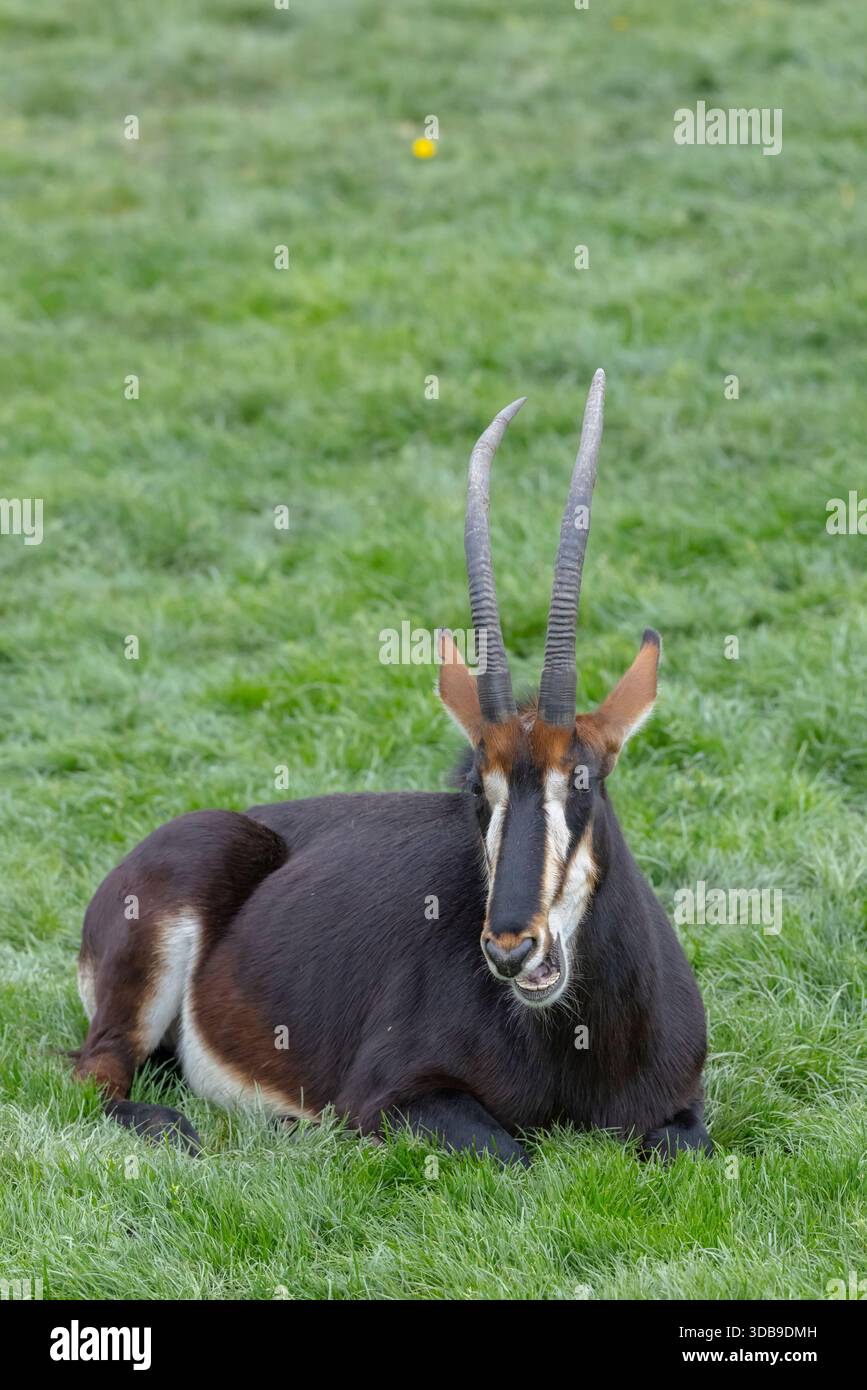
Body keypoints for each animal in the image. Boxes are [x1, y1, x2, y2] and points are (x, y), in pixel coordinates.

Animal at [73, 371, 712, 1165]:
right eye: (475, 788)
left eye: (583, 778)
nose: (510, 947)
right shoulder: (388, 1101)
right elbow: (517, 1153)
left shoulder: (684, 1108)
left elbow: (685, 1144)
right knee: (92, 1074)